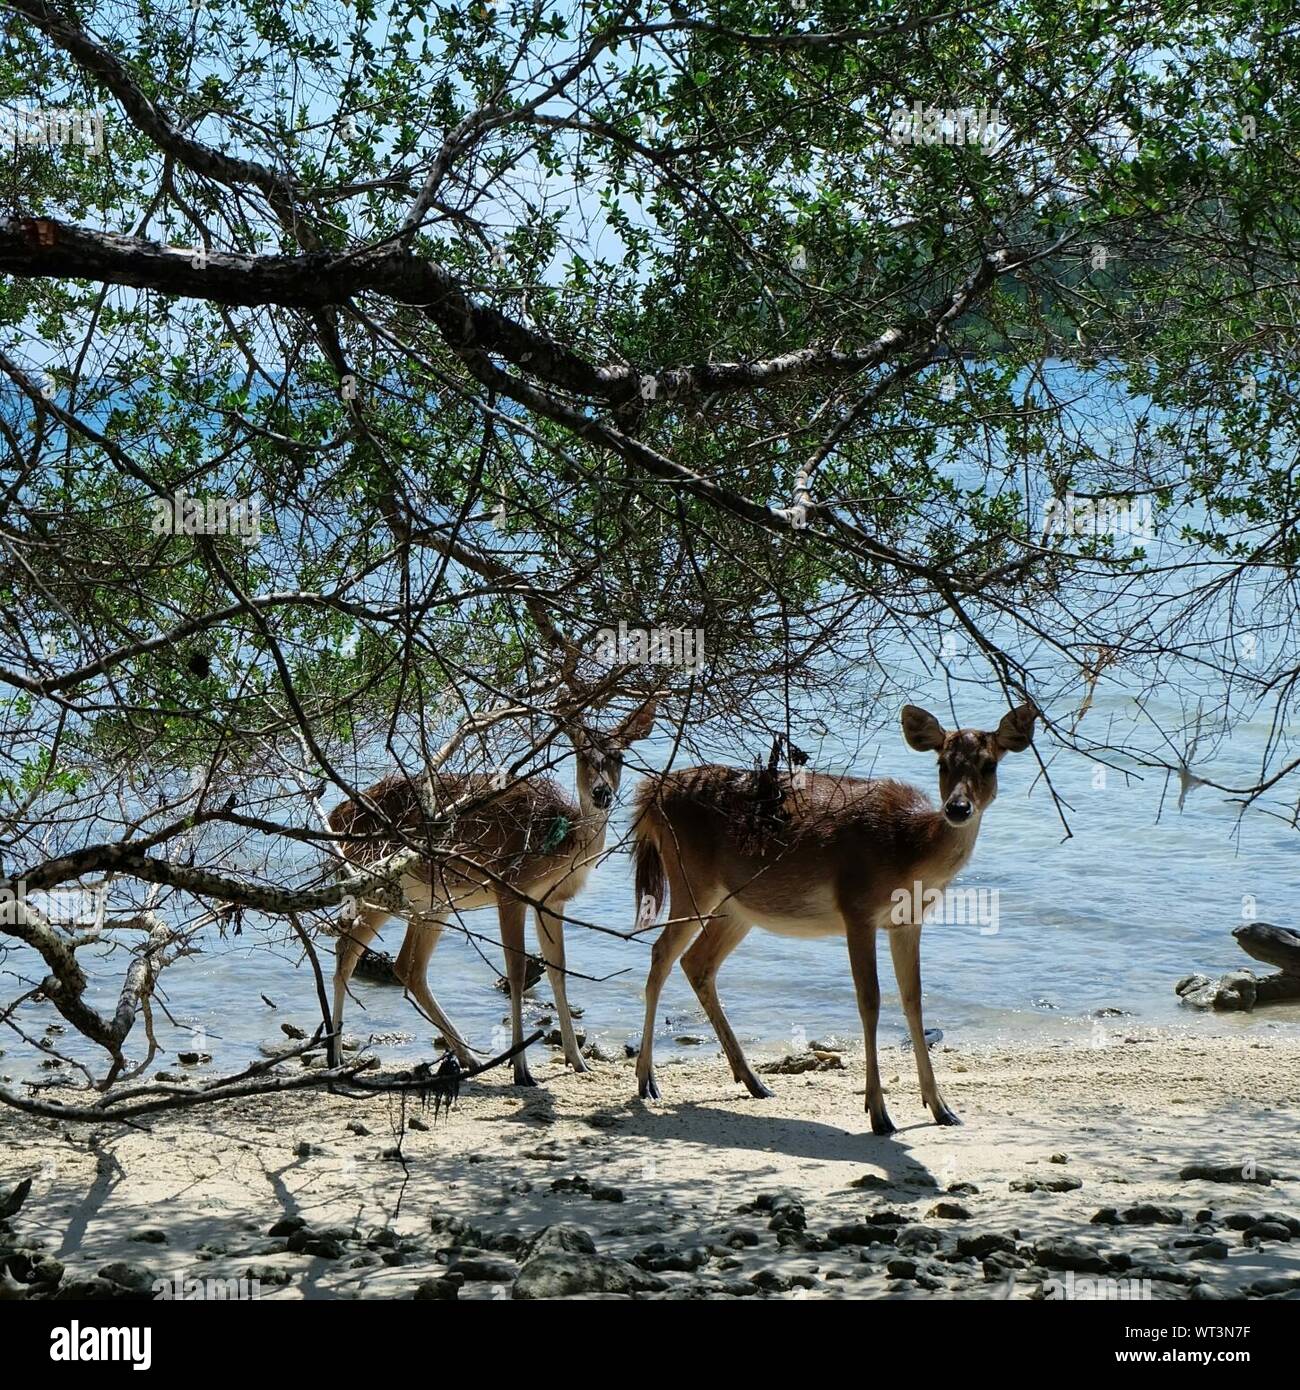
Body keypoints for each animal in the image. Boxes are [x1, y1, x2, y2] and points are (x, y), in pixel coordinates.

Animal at [327, 698, 656, 1082]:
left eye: (619, 755)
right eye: (580, 753)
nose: (602, 793)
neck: (559, 843)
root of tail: (335, 818)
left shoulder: (550, 901)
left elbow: (558, 968)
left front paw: (577, 1060)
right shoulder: (510, 887)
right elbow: (516, 969)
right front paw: (521, 1069)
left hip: (429, 902)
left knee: (406, 966)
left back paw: (469, 1057)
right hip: (378, 884)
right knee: (348, 948)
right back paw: (336, 1056)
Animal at [630, 702, 1036, 1132]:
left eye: (990, 764)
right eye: (942, 763)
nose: (958, 808)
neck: (908, 851)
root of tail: (649, 795)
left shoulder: (908, 921)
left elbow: (913, 999)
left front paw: (942, 1108)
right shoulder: (857, 908)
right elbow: (869, 1000)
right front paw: (879, 1114)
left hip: (738, 907)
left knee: (696, 962)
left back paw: (755, 1082)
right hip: (691, 880)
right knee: (661, 954)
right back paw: (647, 1081)